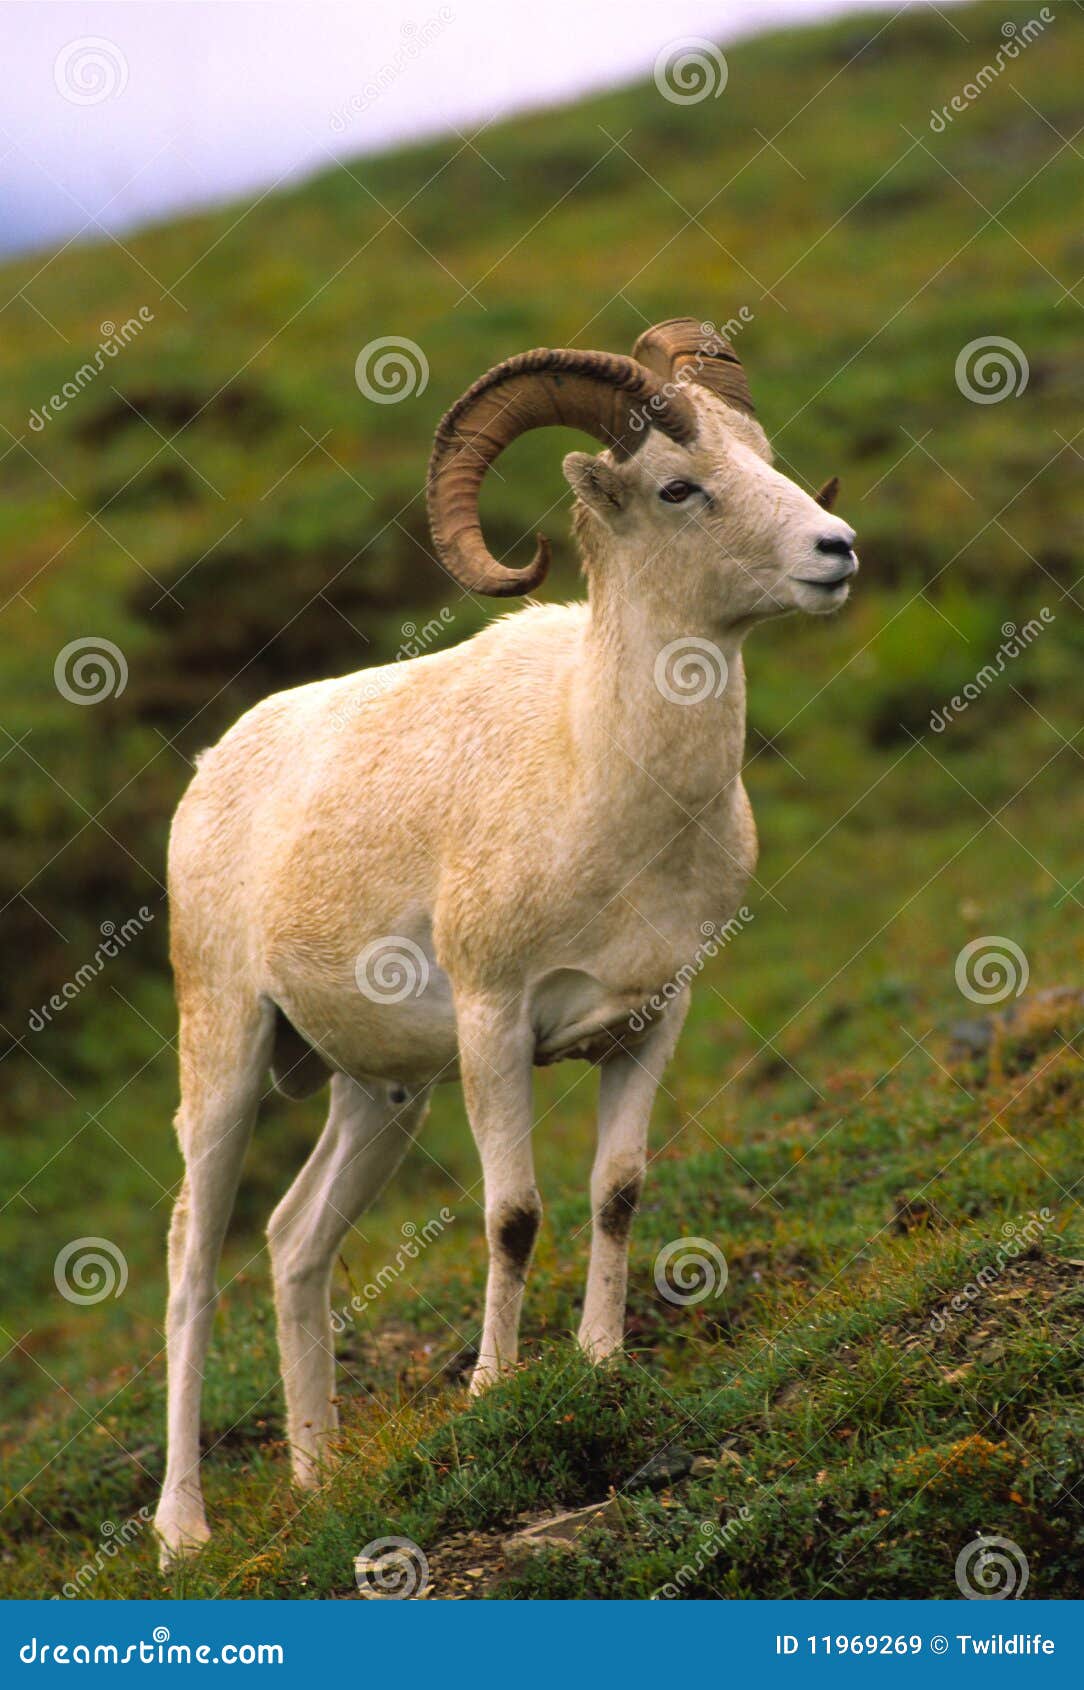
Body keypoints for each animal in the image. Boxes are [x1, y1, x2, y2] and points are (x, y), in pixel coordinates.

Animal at [153, 317, 857, 1563]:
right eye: (679, 486)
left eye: (764, 457)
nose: (837, 550)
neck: (603, 782)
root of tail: (212, 771)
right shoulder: (495, 1022)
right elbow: (514, 1214)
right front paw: (493, 1389)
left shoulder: (651, 1018)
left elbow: (616, 1190)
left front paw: (599, 1364)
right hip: (227, 1054)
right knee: (194, 1261)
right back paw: (181, 1531)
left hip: (377, 1094)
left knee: (293, 1241)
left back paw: (319, 1477)